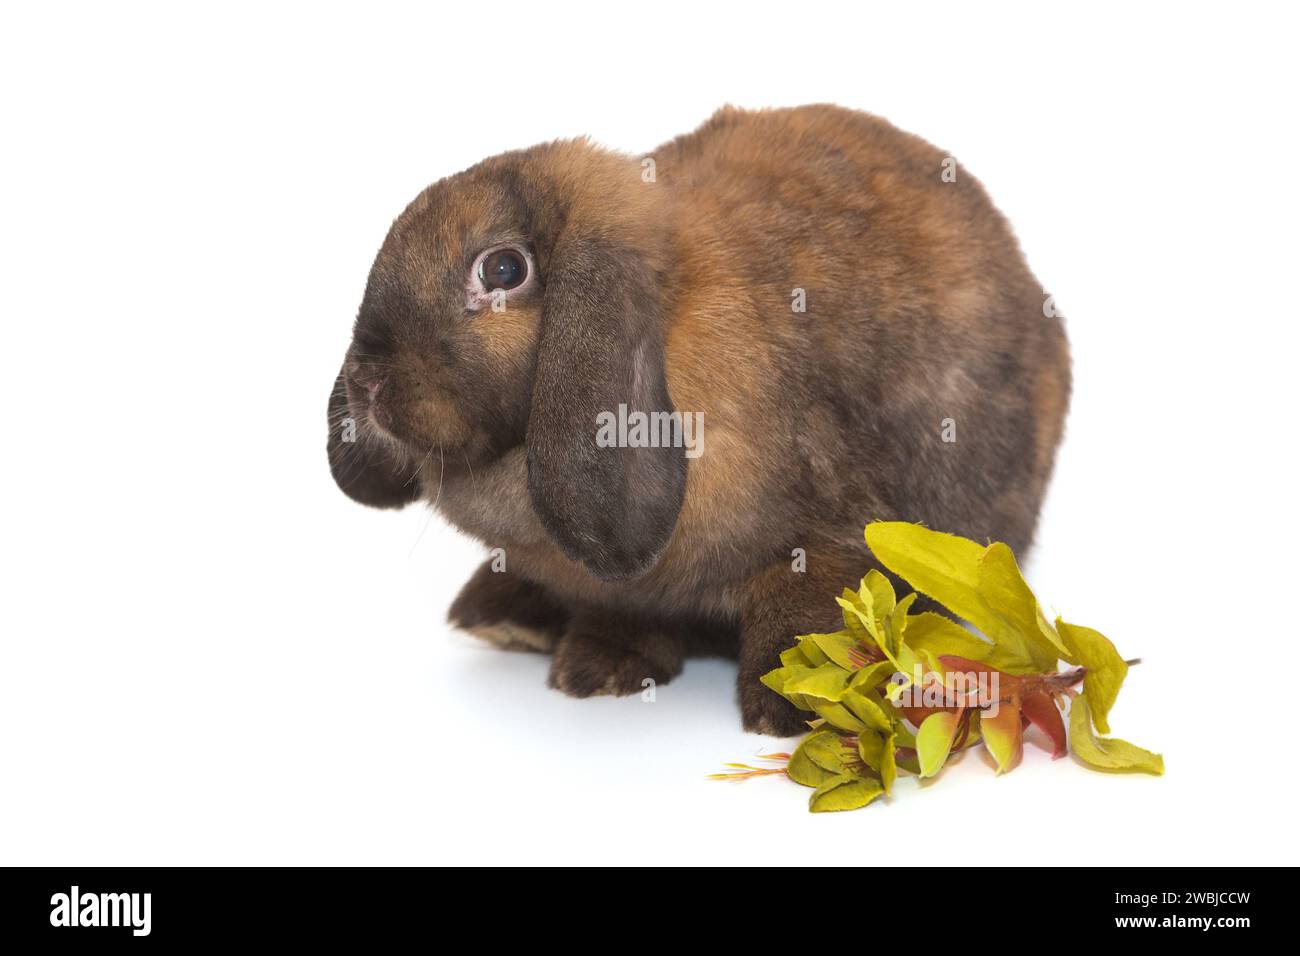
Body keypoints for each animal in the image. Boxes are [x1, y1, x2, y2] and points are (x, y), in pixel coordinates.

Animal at [326, 104, 1071, 735]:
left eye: (504, 269)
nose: (366, 381)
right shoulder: (620, 585)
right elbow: (620, 610)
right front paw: (600, 672)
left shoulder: (829, 541)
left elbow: (803, 618)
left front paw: (795, 708)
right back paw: (500, 618)